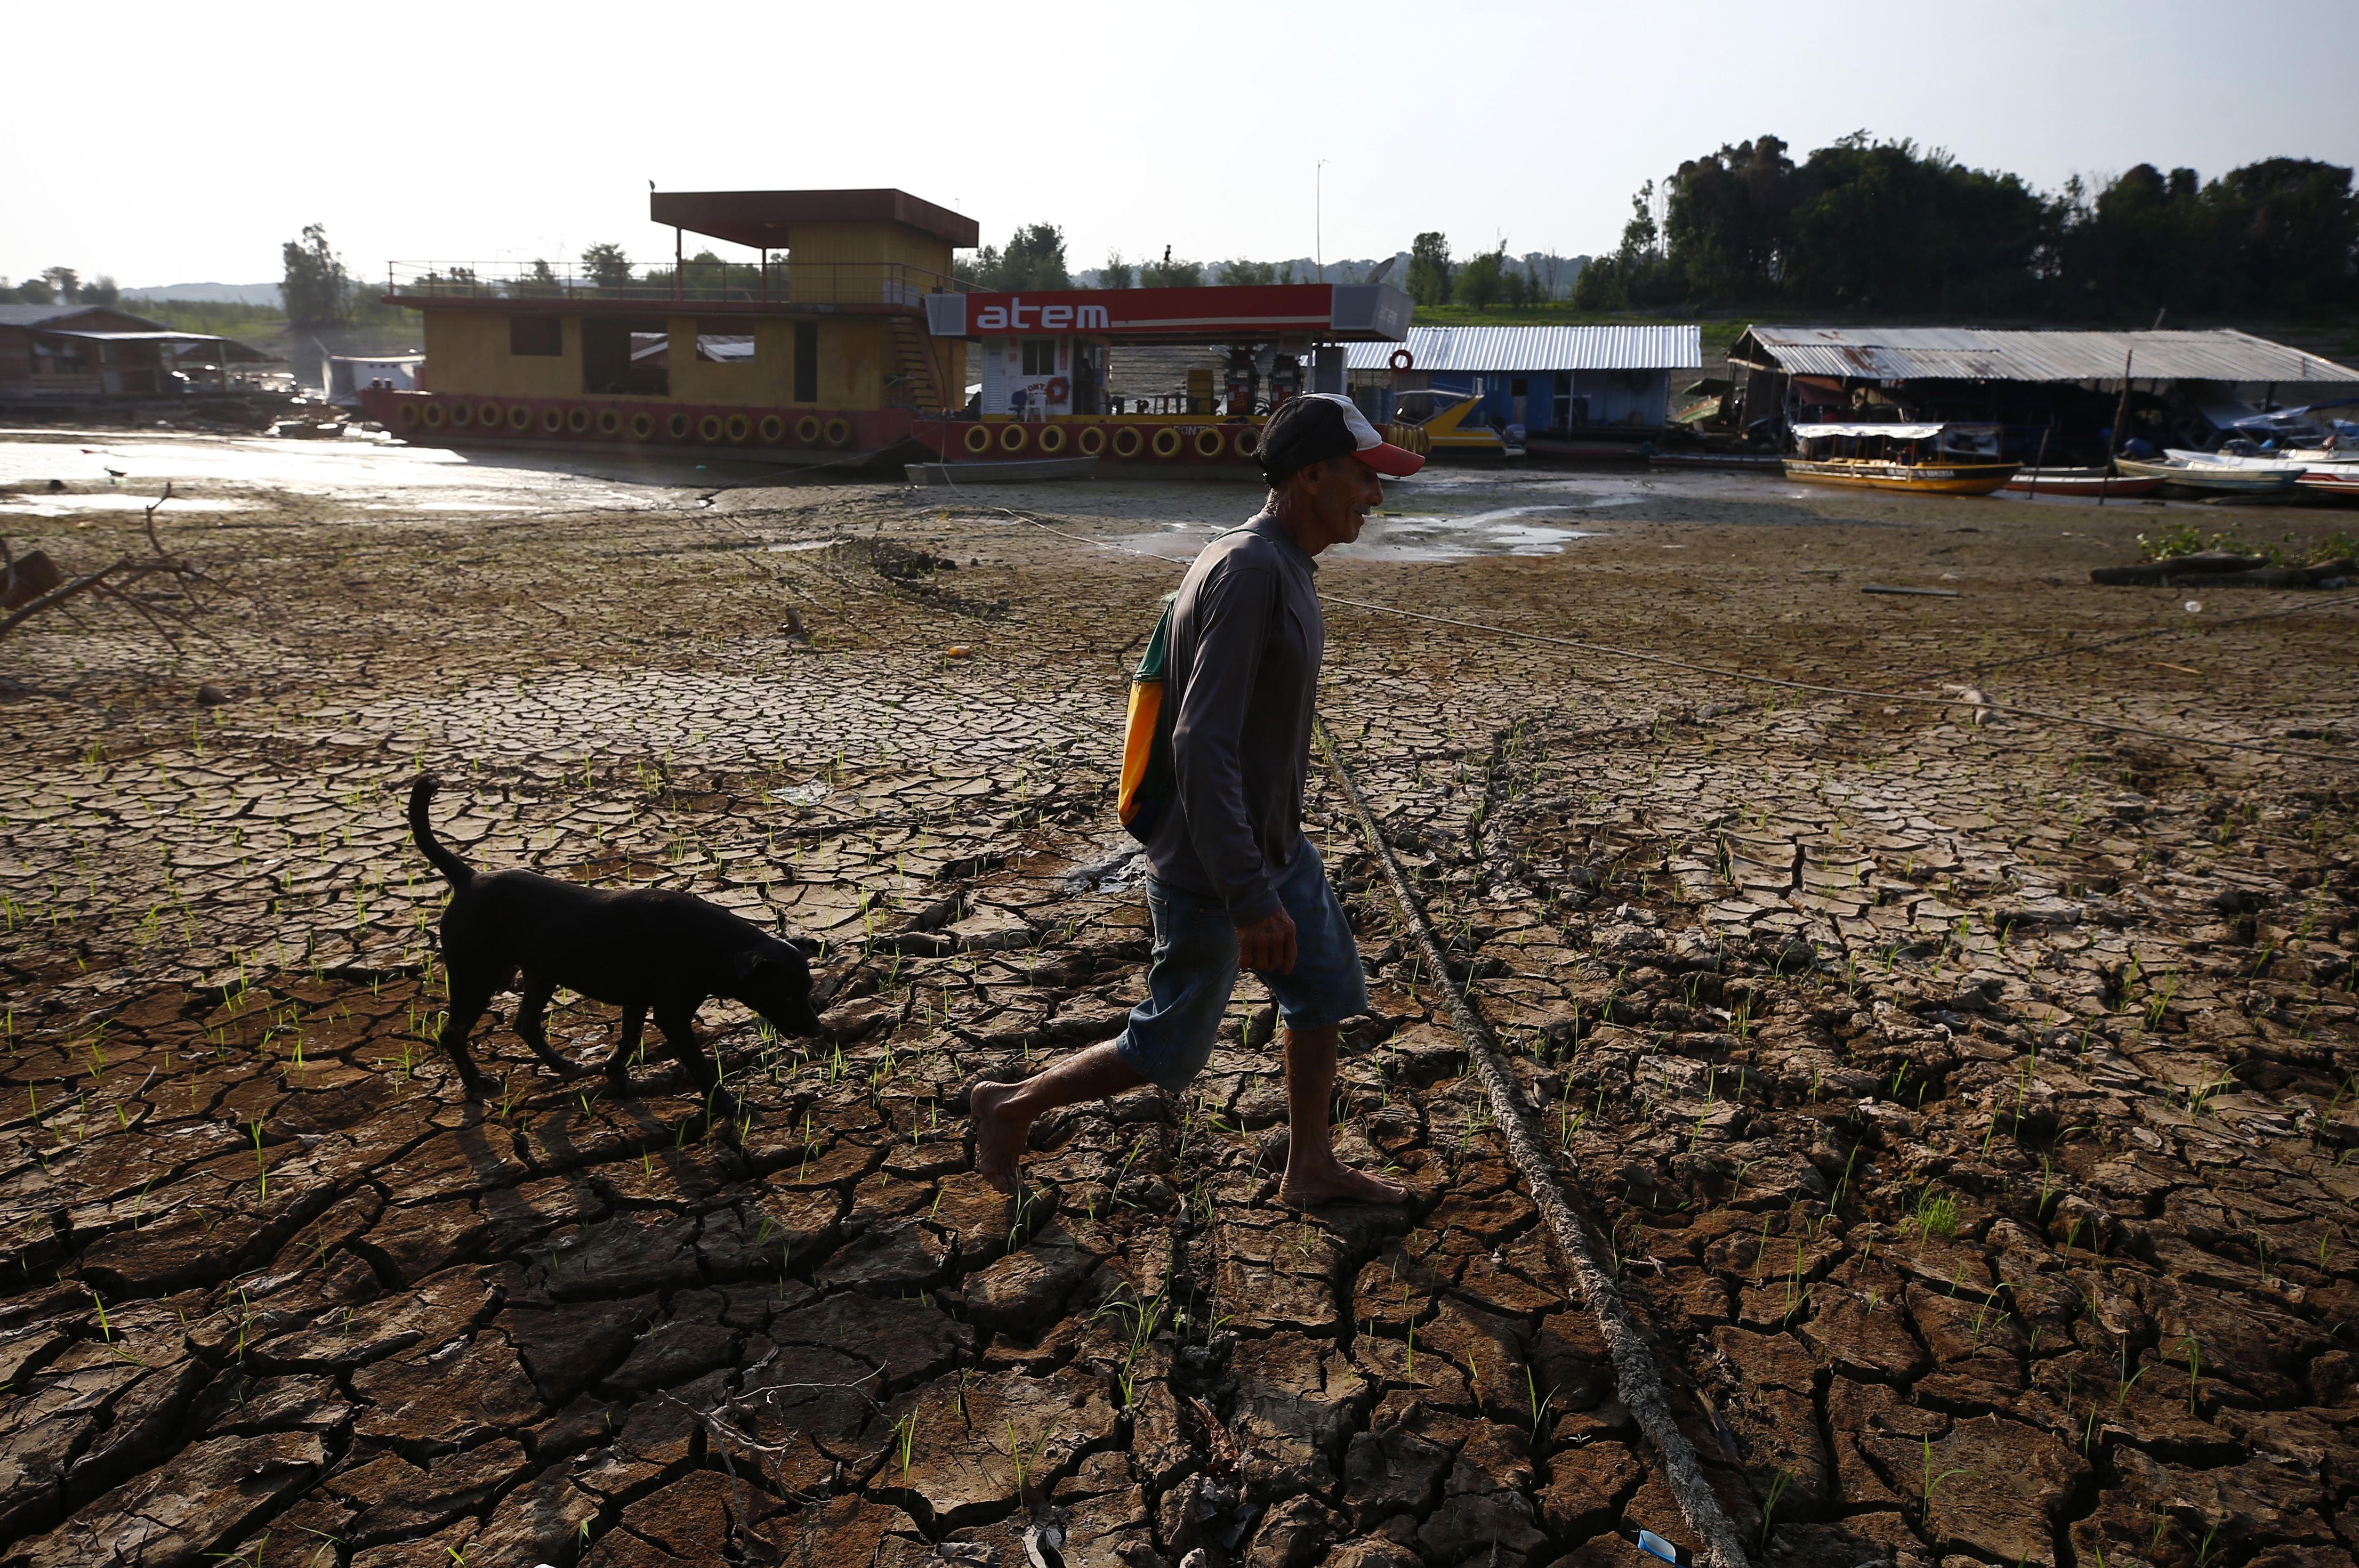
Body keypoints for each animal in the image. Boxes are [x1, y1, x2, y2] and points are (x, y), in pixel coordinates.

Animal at [415, 773, 830, 1098]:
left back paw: (562, 1065)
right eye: (785, 995)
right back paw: (474, 1082)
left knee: (526, 1024)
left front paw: (614, 1071)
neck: (707, 943)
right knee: (453, 1032)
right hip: (475, 976)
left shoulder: (637, 1001)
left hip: (539, 973)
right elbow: (699, 1066)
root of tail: (468, 878)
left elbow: (629, 1040)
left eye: (809, 990)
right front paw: (728, 1108)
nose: (817, 1029)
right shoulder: (671, 1016)